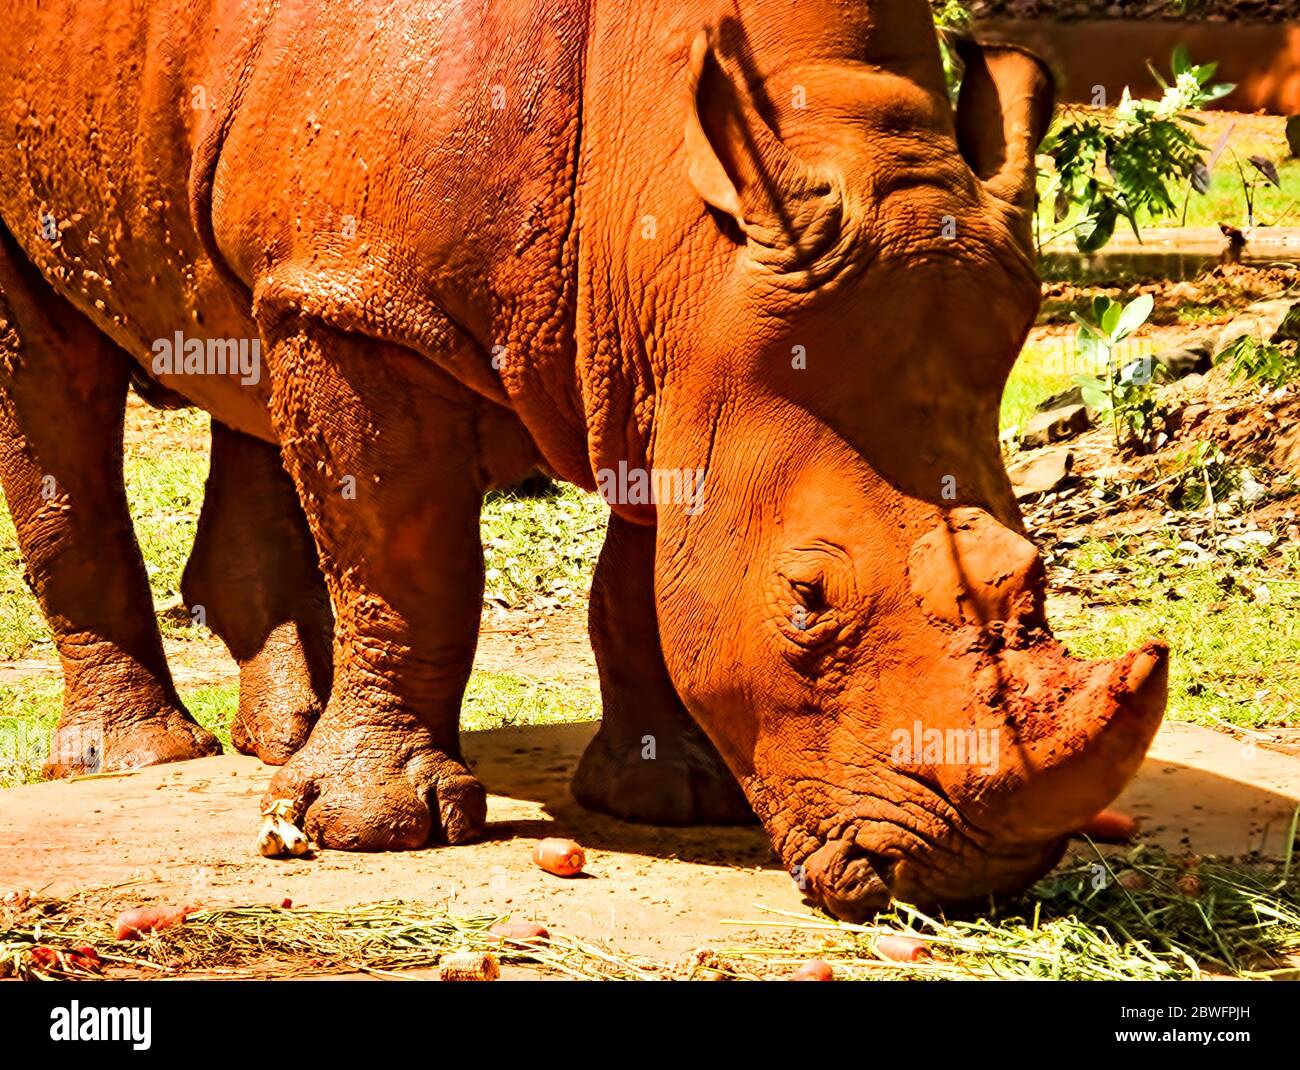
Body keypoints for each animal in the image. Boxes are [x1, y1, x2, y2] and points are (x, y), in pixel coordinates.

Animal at [0, 0, 1166, 919]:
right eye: (807, 599)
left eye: (1037, 572)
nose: (976, 875)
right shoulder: (372, 300)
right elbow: (405, 563)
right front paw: (375, 829)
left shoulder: (672, 350)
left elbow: (643, 582)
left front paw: (671, 797)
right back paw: (146, 759)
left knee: (242, 336)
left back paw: (280, 745)